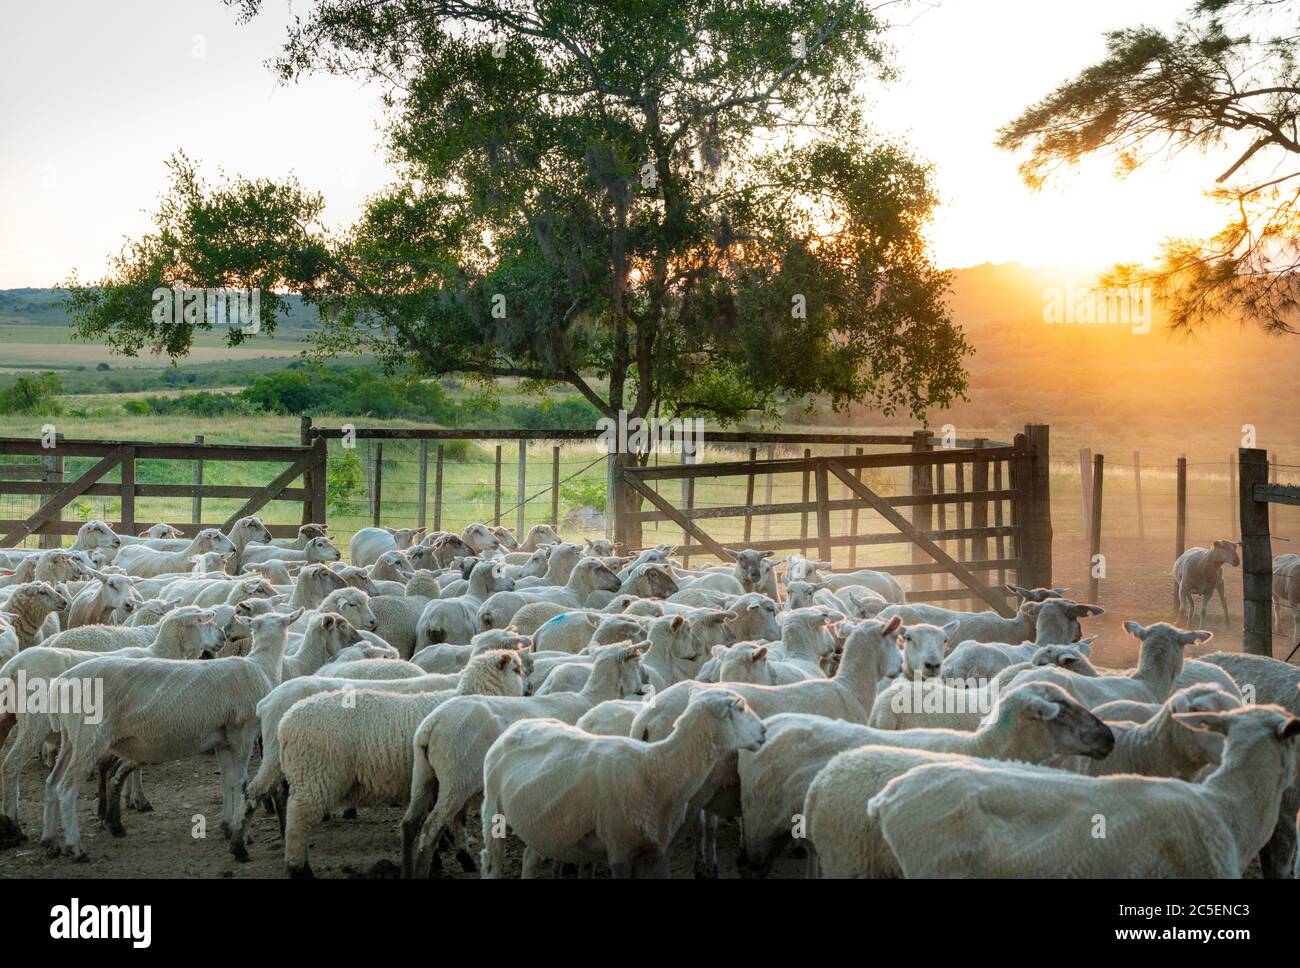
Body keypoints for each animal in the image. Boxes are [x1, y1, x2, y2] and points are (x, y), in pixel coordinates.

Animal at [41, 607, 303, 860]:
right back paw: (76, 848)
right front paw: (242, 836)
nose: (222, 636)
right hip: (90, 737)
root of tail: (60, 683)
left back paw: (50, 842)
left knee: (52, 782)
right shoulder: (243, 733)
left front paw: (228, 826)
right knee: (66, 789)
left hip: (72, 739)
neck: (262, 665)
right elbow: (240, 782)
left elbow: (227, 780)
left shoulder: (222, 739)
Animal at [270, 649, 527, 875]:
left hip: (303, 777)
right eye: (518, 669)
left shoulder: (437, 779)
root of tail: (284, 723)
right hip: (315, 775)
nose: (528, 691)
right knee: (298, 823)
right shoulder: (455, 775)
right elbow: (452, 818)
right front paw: (456, 855)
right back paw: (299, 869)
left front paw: (445, 854)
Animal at [401, 641, 647, 877]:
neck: (593, 698)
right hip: (456, 781)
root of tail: (431, 725)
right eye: (636, 662)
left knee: (410, 823)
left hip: (423, 774)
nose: (643, 688)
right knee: (431, 829)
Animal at [481, 688, 767, 878]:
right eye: (741, 709)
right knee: (490, 860)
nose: (764, 731)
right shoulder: (619, 849)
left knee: (529, 858)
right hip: (493, 810)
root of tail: (517, 726)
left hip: (545, 824)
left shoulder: (654, 852)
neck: (656, 769)